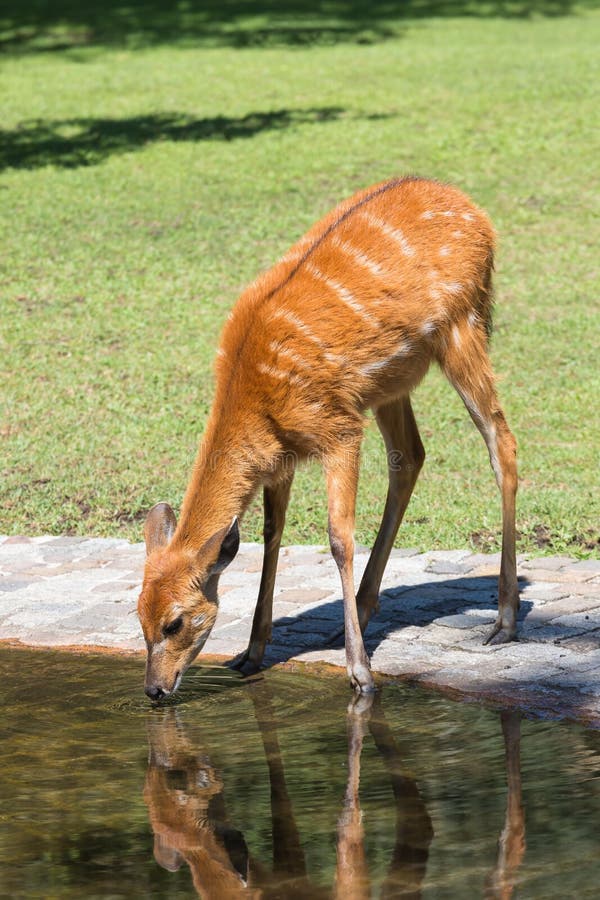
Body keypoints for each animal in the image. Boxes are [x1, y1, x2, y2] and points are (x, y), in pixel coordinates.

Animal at [137, 175, 519, 699]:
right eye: (139, 617)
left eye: (174, 622)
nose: (155, 690)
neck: (254, 397)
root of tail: (475, 213)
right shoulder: (280, 456)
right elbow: (272, 533)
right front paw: (250, 654)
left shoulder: (338, 427)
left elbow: (339, 538)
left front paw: (361, 674)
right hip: (390, 381)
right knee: (411, 456)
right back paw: (363, 608)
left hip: (463, 328)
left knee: (502, 442)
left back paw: (503, 622)